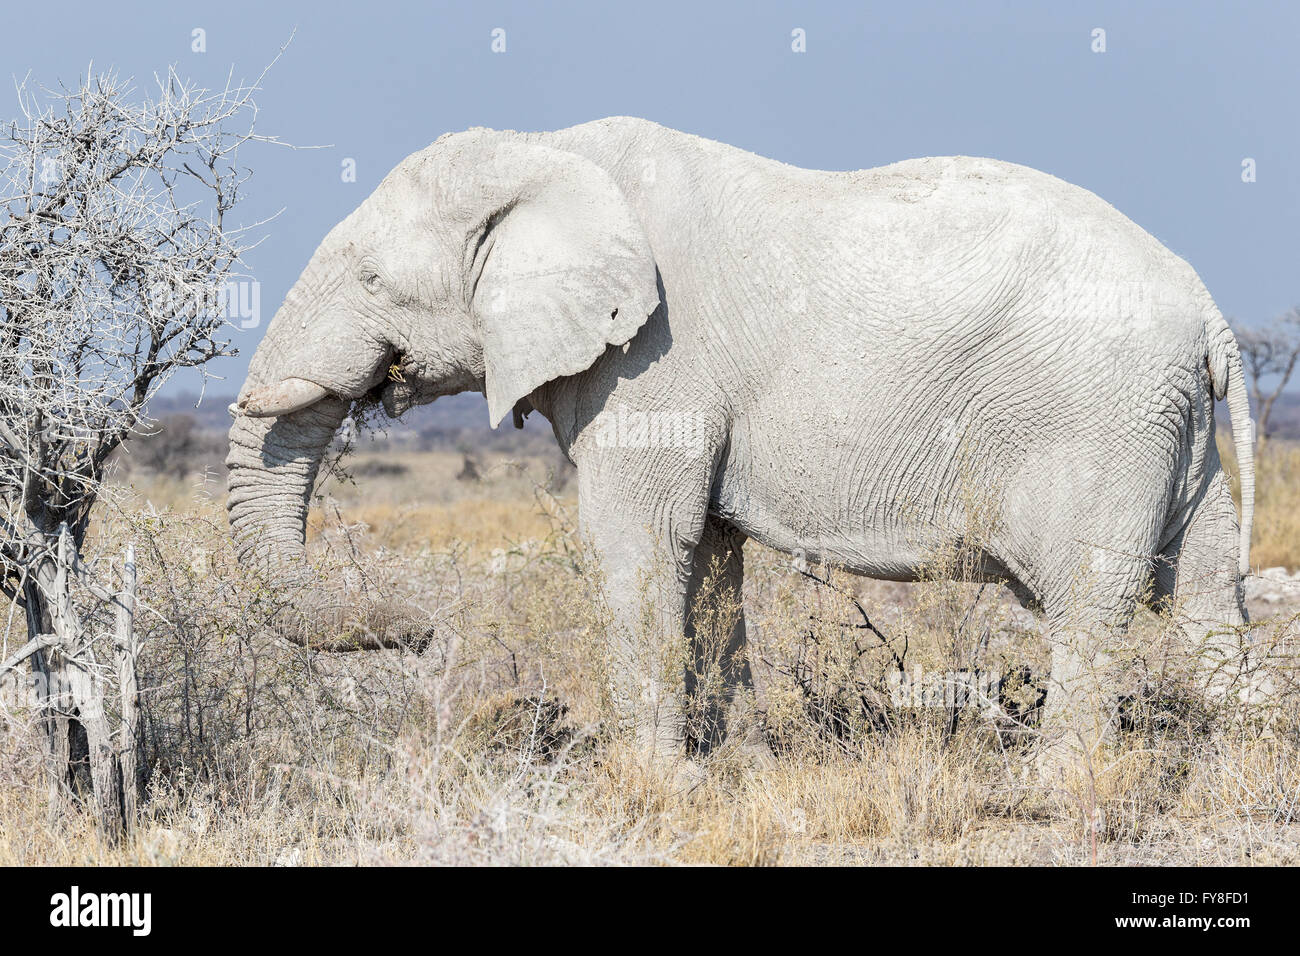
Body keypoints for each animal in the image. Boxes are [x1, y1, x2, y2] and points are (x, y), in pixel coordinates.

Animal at [227, 117, 1256, 769]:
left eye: (371, 279)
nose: (424, 631)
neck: (547, 156)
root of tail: (1209, 311)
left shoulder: (653, 361)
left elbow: (640, 545)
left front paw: (652, 784)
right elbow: (710, 557)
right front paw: (741, 770)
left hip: (1100, 418)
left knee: (1093, 597)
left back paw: (1058, 785)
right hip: (1171, 426)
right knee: (1205, 594)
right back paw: (1238, 761)